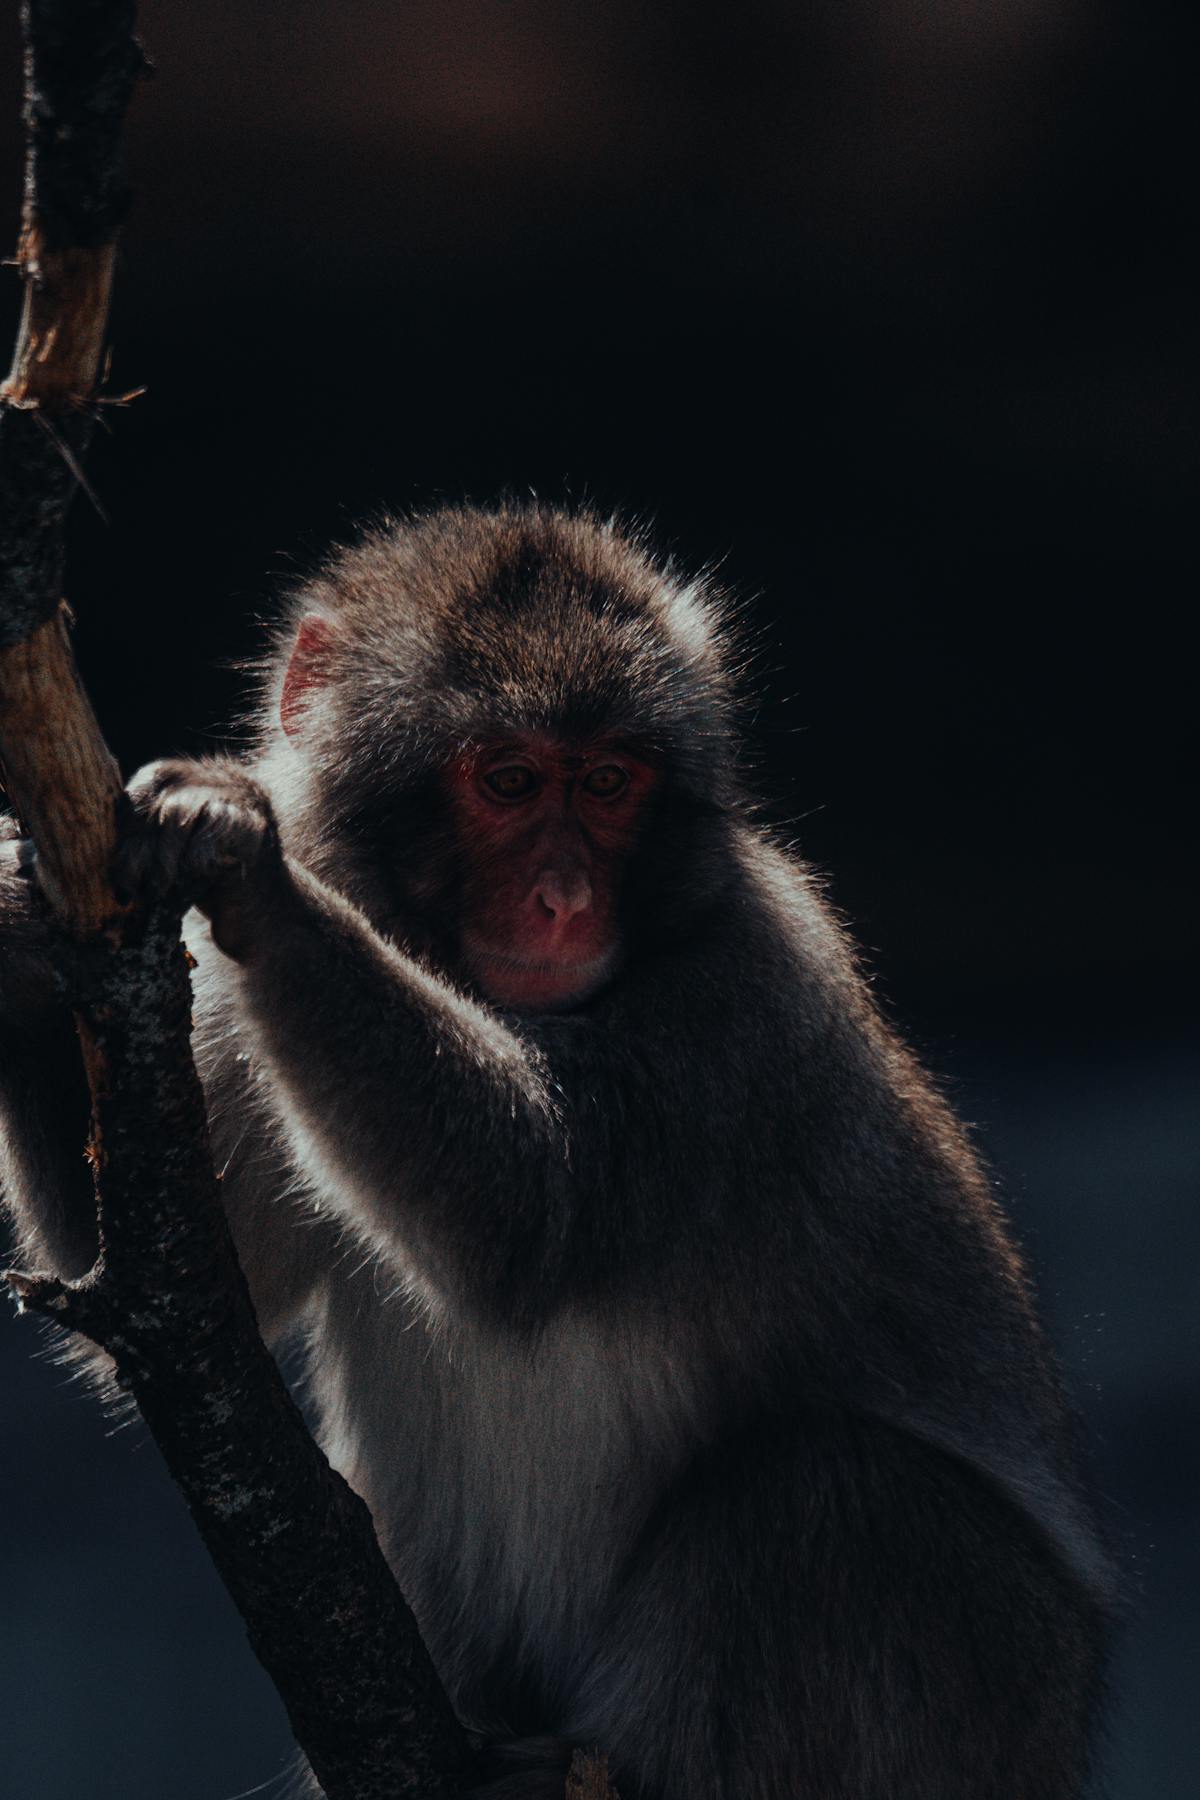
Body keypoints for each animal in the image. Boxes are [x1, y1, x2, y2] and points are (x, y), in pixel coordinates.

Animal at [0, 503, 1113, 1799]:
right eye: (510, 781)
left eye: (612, 782)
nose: (567, 900)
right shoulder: (227, 1029)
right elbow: (182, 1290)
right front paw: (25, 921)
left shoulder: (753, 998)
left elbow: (533, 1214)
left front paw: (252, 872)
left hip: (999, 1698)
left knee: (834, 1489)